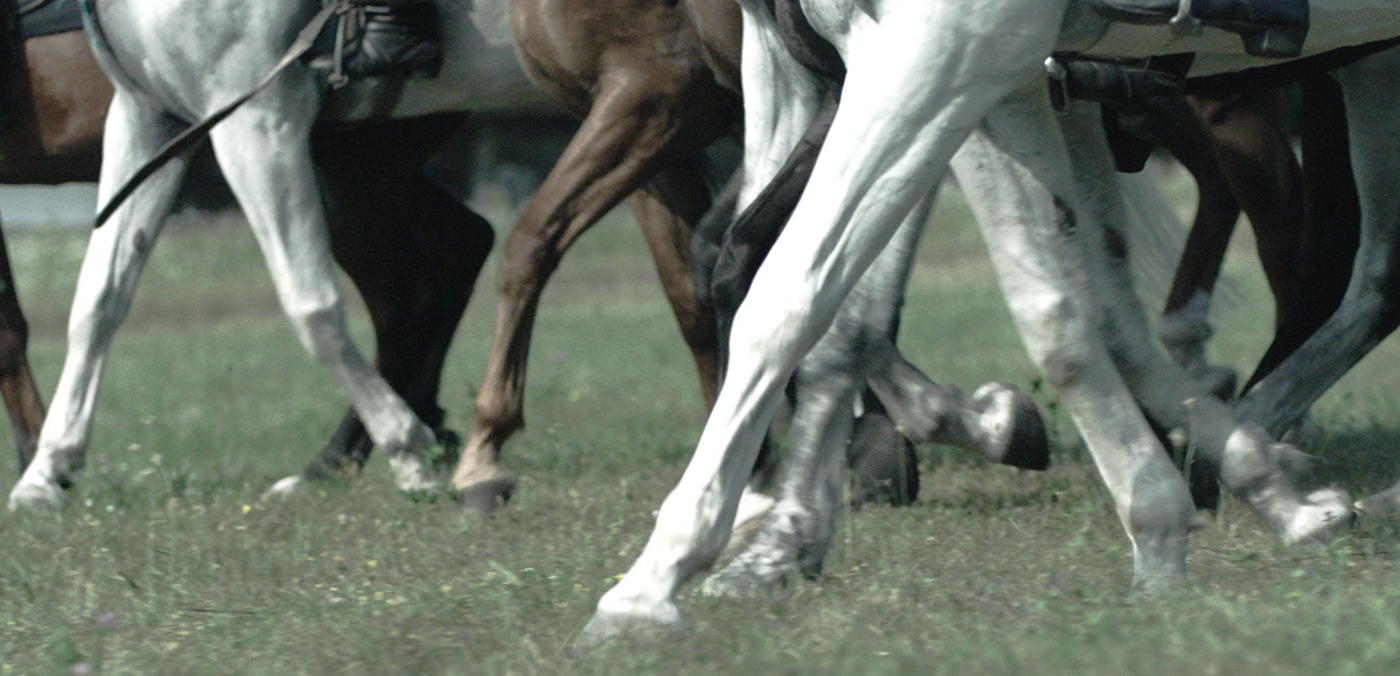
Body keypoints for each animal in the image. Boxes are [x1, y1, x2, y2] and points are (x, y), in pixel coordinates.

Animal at [579, 0, 1400, 640]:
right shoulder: (945, 75)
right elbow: (1065, 308)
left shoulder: (949, 55)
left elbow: (790, 300)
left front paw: (653, 584)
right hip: (1366, 69)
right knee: (1374, 275)